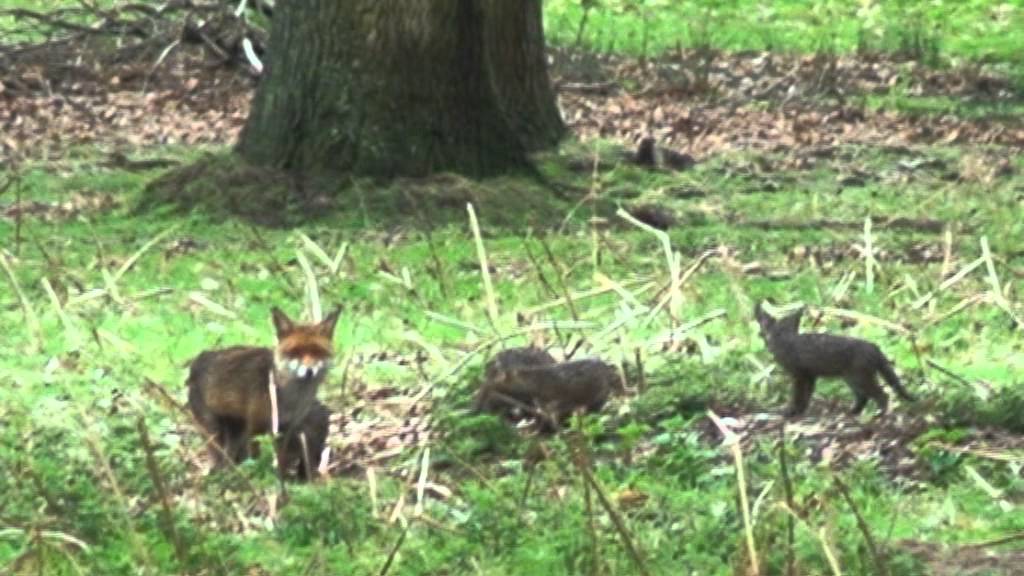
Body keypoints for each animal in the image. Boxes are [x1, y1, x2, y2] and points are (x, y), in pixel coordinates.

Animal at [186, 307, 340, 474]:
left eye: (318, 352)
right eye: (295, 352)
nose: (309, 371)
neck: (289, 397)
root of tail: (199, 358)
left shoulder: (287, 427)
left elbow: (282, 459)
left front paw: (281, 477)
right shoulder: (257, 425)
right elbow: (256, 457)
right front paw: (258, 475)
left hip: (236, 429)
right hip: (213, 430)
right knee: (218, 455)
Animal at [754, 302, 915, 417]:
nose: (759, 334)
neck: (784, 339)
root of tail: (874, 346)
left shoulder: (798, 375)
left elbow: (797, 396)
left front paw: (790, 412)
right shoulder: (810, 376)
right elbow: (806, 396)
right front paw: (801, 411)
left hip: (860, 378)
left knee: (882, 395)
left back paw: (879, 415)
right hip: (852, 378)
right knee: (863, 396)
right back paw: (853, 412)